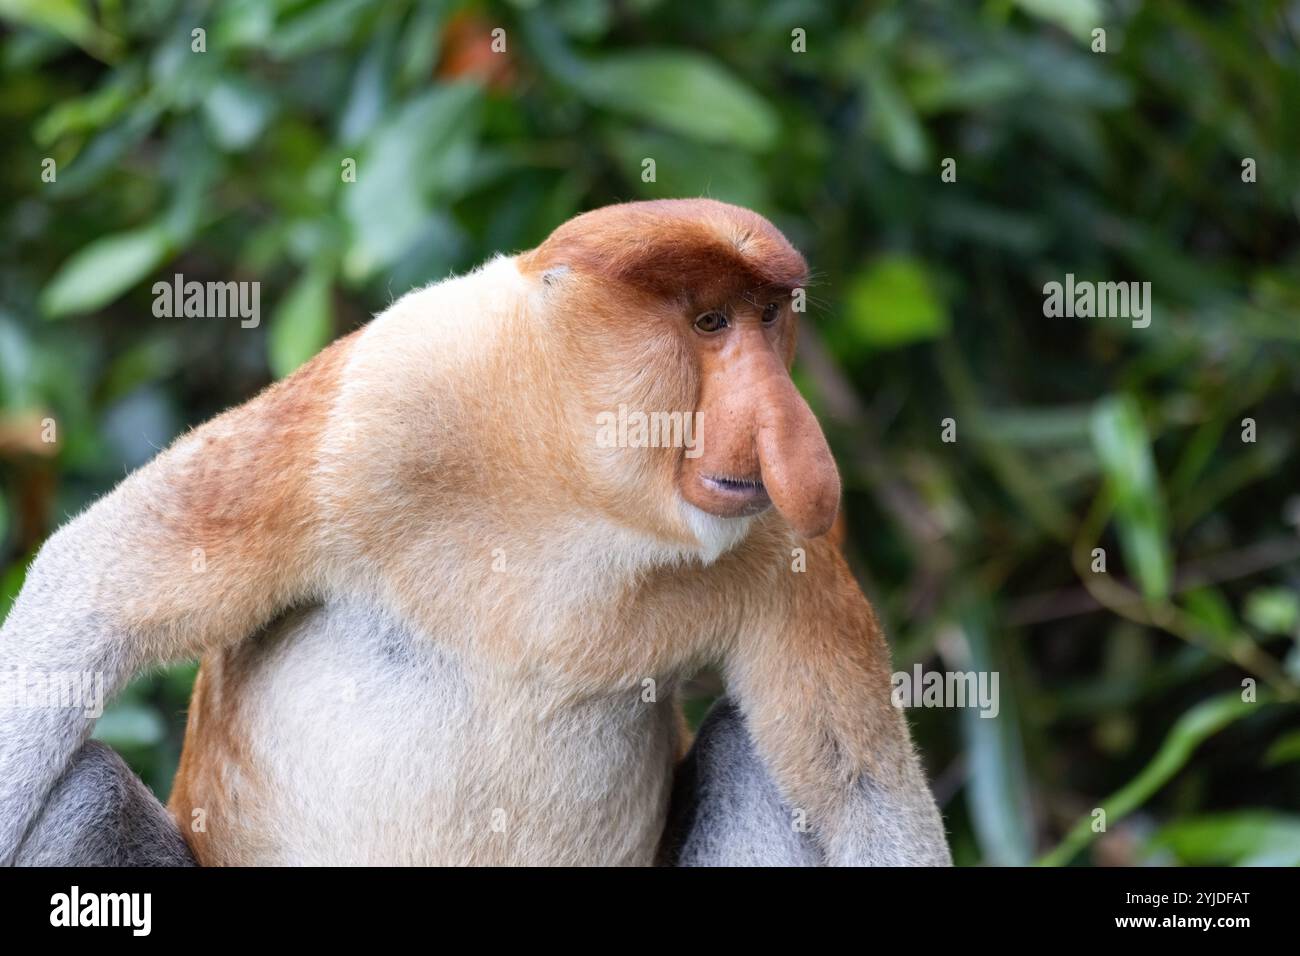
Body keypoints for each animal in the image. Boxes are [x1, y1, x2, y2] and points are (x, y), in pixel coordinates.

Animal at [0, 199, 951, 866]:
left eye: (770, 318)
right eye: (711, 322)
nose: (790, 439)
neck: (565, 489)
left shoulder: (775, 545)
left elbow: (861, 793)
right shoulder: (384, 396)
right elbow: (92, 597)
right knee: (85, 791)